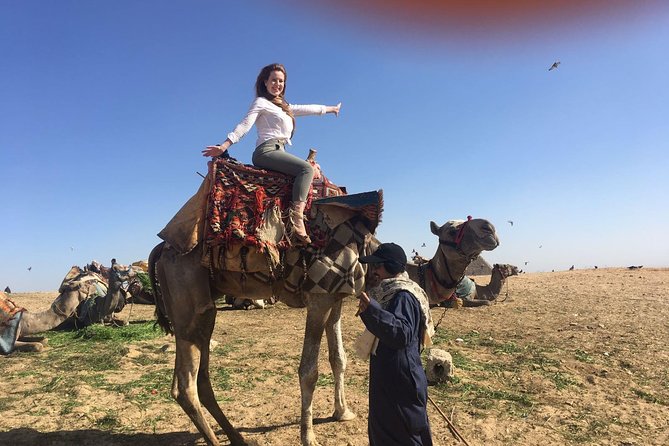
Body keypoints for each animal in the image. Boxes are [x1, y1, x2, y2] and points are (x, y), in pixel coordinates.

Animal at [149, 214, 499, 446]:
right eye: (452, 228)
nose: (491, 229)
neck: (366, 255)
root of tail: (161, 251)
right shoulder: (318, 299)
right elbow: (309, 371)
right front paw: (309, 437)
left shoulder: (338, 300)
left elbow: (338, 359)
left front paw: (342, 412)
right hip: (188, 301)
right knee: (185, 386)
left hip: (203, 308)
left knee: (200, 377)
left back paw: (238, 438)